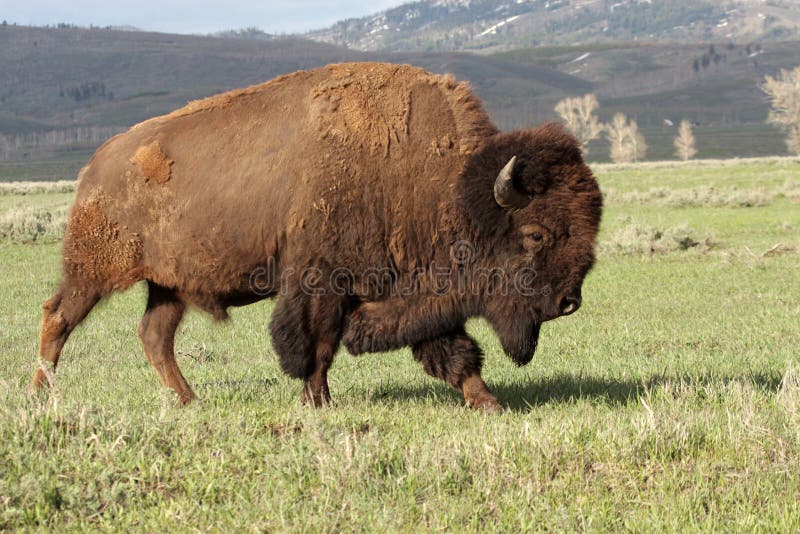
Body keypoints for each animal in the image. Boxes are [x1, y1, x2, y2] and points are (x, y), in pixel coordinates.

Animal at [32, 62, 602, 411]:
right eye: (535, 234)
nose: (568, 301)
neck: (439, 182)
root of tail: (95, 165)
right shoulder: (321, 282)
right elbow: (316, 346)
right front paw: (319, 402)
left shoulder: (417, 291)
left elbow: (452, 349)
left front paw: (487, 402)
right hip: (94, 271)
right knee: (58, 317)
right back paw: (42, 394)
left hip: (169, 285)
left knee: (154, 335)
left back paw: (189, 400)